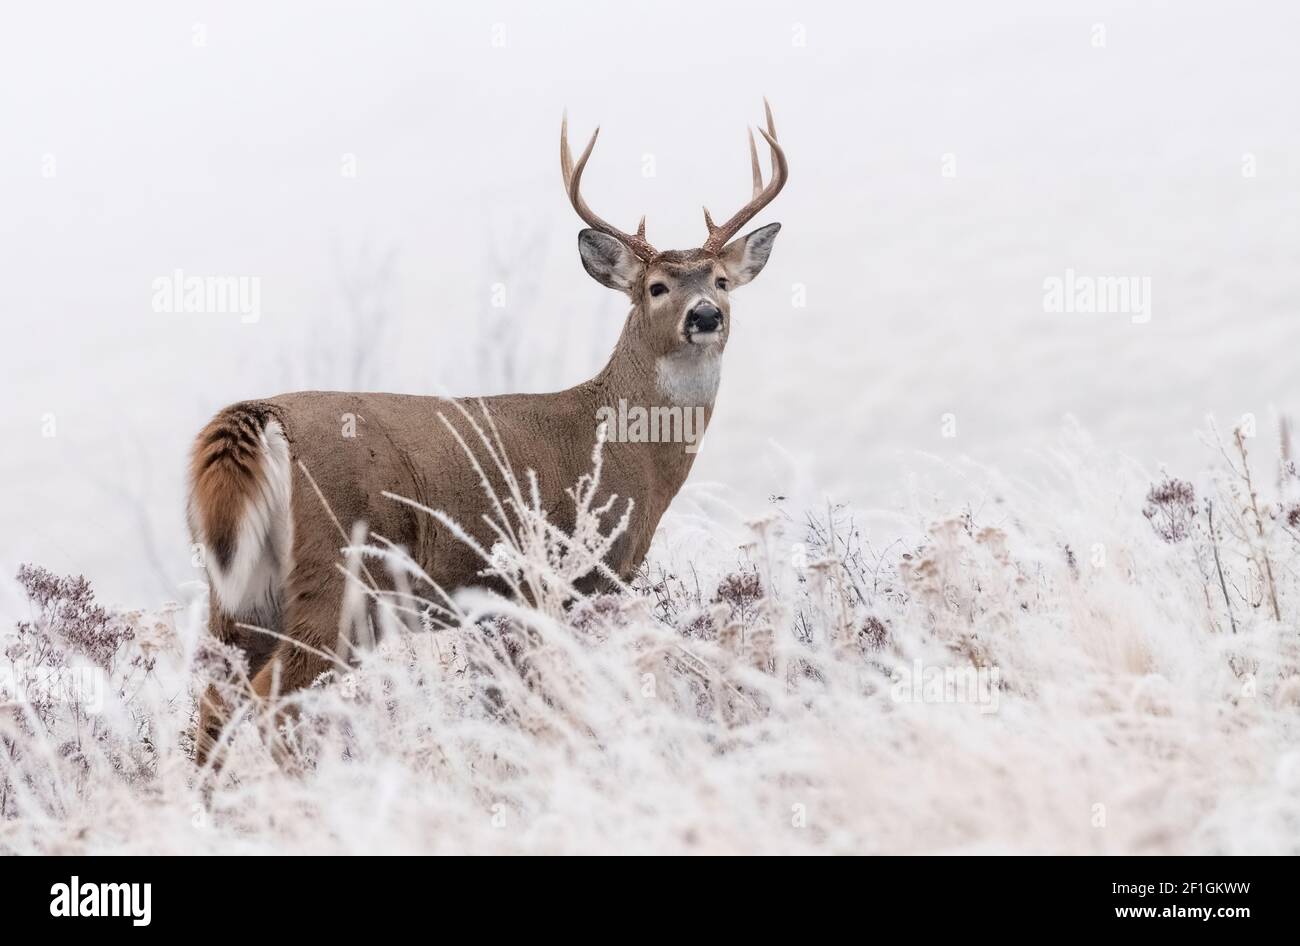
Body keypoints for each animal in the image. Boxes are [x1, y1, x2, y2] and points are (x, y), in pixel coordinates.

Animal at [187, 101, 788, 766]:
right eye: (656, 287)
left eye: (722, 282)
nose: (704, 315)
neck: (626, 446)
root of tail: (263, 415)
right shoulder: (566, 577)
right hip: (335, 575)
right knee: (272, 700)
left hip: (239, 593)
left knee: (215, 700)